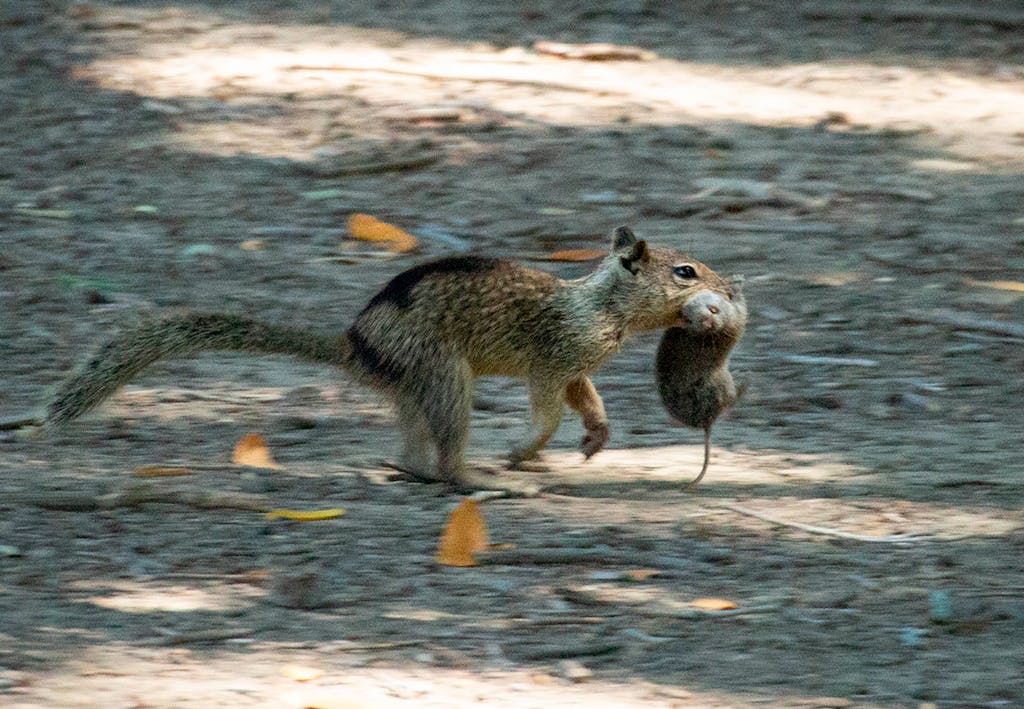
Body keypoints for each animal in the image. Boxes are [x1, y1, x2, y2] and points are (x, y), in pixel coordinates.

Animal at [44, 225, 734, 488]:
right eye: (685, 271)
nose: (728, 290)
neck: (602, 306)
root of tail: (355, 346)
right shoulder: (554, 357)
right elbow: (547, 410)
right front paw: (525, 449)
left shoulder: (577, 366)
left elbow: (585, 399)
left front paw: (595, 437)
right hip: (445, 376)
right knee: (449, 450)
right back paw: (475, 478)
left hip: (416, 388)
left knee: (413, 445)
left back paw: (411, 469)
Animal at [655, 277, 747, 486]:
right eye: (689, 319)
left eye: (713, 309)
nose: (708, 322)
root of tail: (707, 422)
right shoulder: (737, 319)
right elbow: (741, 305)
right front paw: (736, 283)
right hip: (723, 384)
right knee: (732, 399)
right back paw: (745, 382)